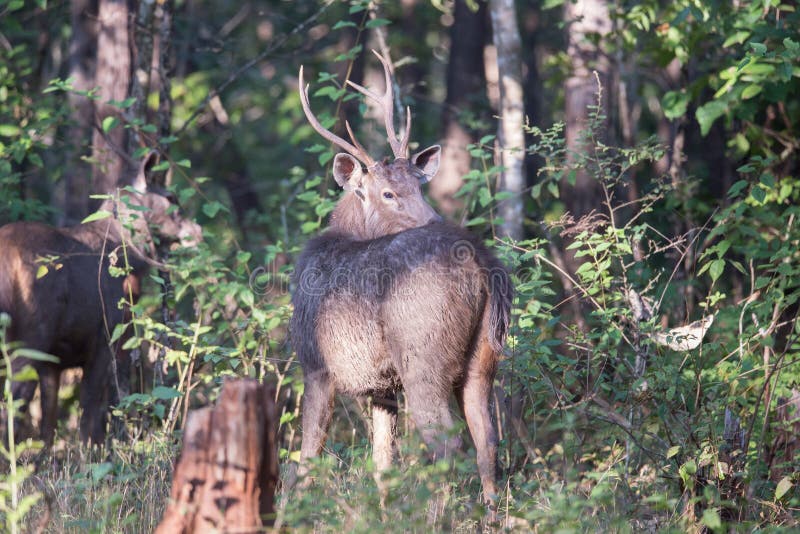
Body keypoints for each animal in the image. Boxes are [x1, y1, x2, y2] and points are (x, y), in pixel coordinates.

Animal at [0, 152, 201, 446]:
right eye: (171, 197)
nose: (197, 232)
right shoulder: (105, 336)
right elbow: (90, 406)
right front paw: (89, 450)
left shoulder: (54, 361)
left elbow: (49, 418)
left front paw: (48, 454)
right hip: (31, 334)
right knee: (15, 397)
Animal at [290, 50, 513, 513]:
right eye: (388, 193)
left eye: (418, 185)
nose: (436, 219)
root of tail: (481, 263)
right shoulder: (381, 386)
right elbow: (382, 462)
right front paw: (381, 510)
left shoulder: (315, 362)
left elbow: (307, 455)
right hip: (485, 353)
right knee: (486, 437)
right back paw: (489, 511)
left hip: (422, 353)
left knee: (448, 445)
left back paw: (437, 515)